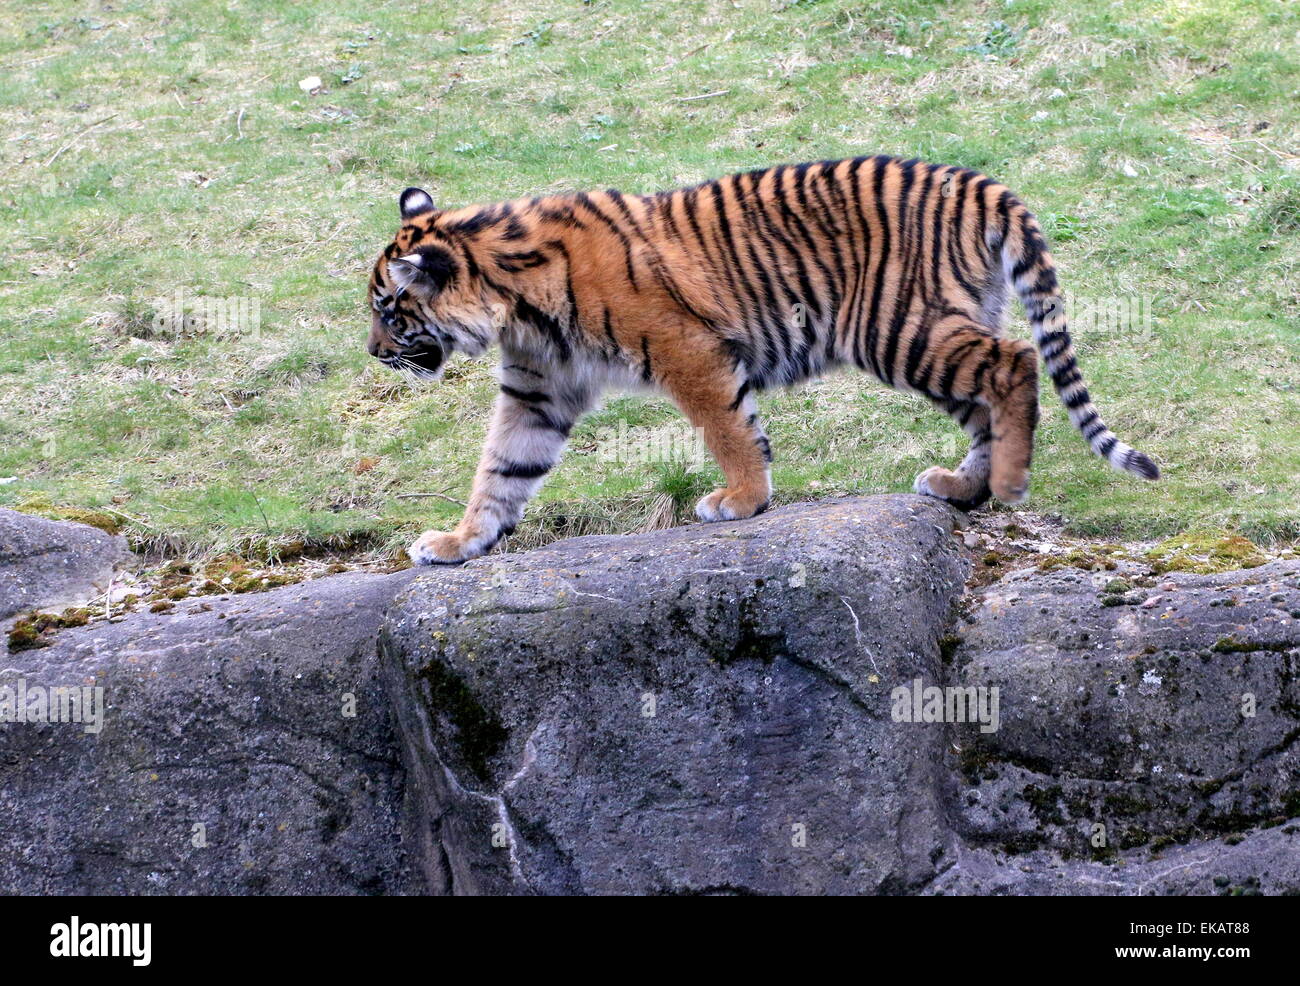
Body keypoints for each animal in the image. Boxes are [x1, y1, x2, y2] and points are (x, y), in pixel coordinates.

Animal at [366, 157, 1159, 565]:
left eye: (388, 309)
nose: (373, 354)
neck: (513, 300)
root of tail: (974, 181)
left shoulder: (689, 350)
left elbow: (728, 429)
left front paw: (742, 500)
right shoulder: (538, 390)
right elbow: (501, 471)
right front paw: (460, 541)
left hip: (900, 327)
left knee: (1015, 361)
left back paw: (1012, 480)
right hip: (930, 331)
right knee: (985, 396)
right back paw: (965, 488)